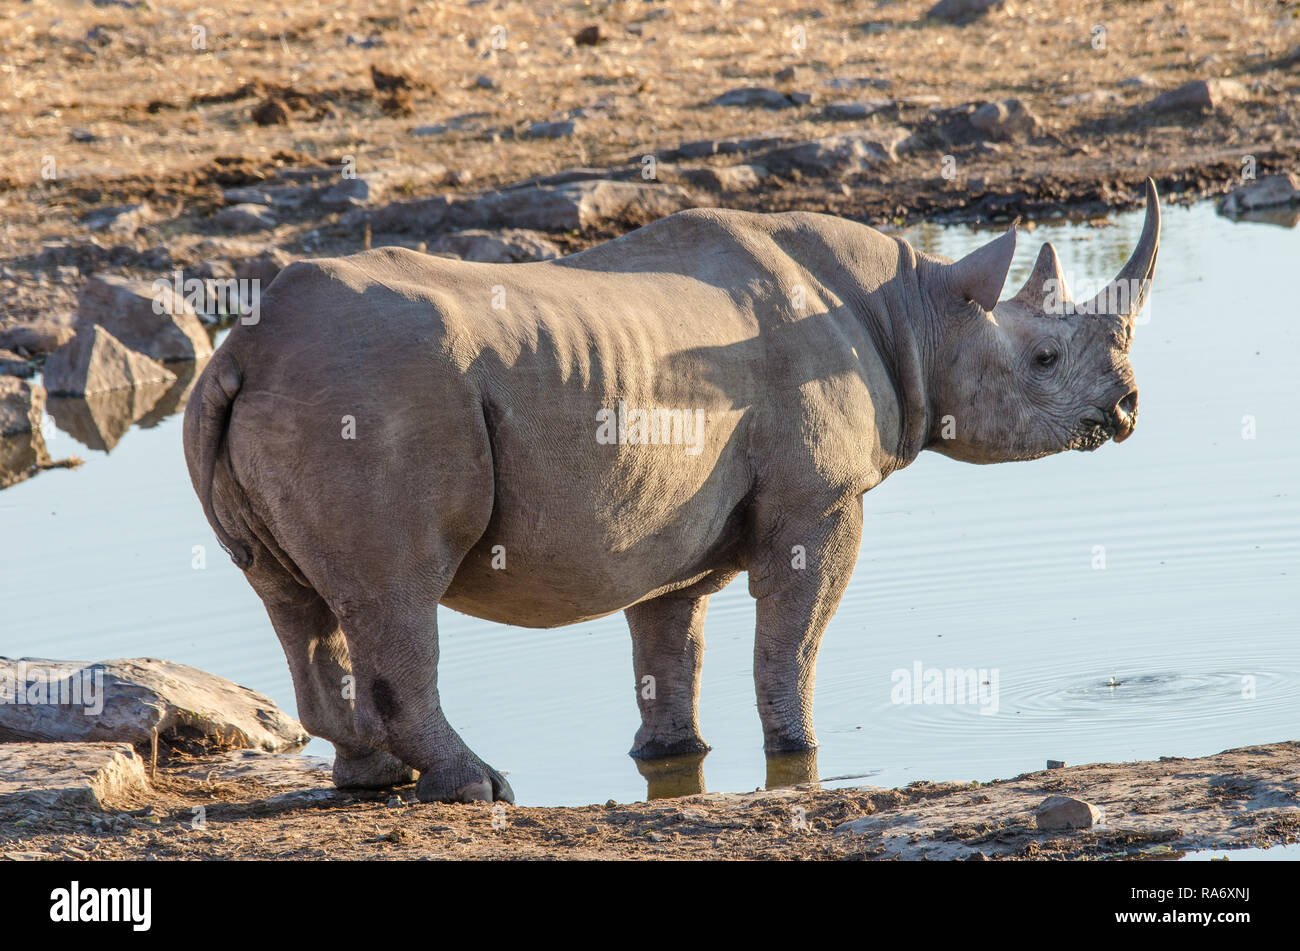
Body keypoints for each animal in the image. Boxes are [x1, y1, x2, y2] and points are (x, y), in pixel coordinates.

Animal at [184, 179, 1159, 803]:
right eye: (1045, 359)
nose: (1126, 410)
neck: (919, 308)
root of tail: (245, 350)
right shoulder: (820, 502)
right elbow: (793, 642)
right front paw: (798, 751)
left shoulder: (664, 525)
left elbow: (668, 642)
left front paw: (673, 754)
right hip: (371, 394)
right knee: (395, 594)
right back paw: (478, 788)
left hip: (296, 396)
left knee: (296, 599)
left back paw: (376, 778)